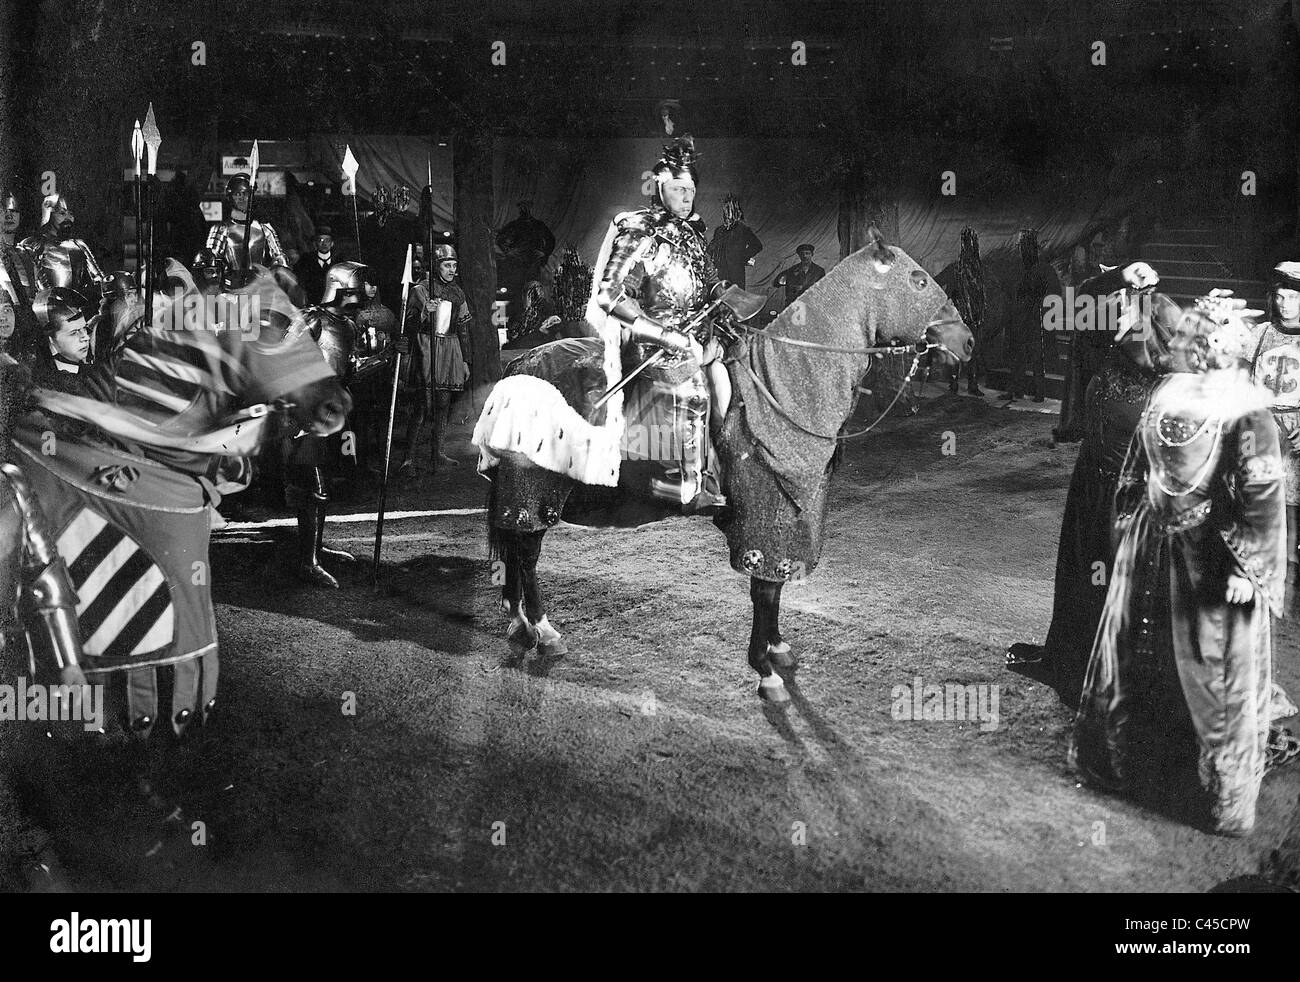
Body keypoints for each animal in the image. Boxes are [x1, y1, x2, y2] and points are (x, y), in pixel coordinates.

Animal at [473, 228, 972, 707]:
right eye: (919, 281)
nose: (965, 341)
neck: (783, 383)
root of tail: (518, 365)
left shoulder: (787, 524)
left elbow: (775, 589)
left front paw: (777, 648)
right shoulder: (763, 520)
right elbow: (763, 590)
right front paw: (765, 670)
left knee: (515, 550)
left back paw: (519, 620)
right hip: (533, 490)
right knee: (527, 553)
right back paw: (543, 629)